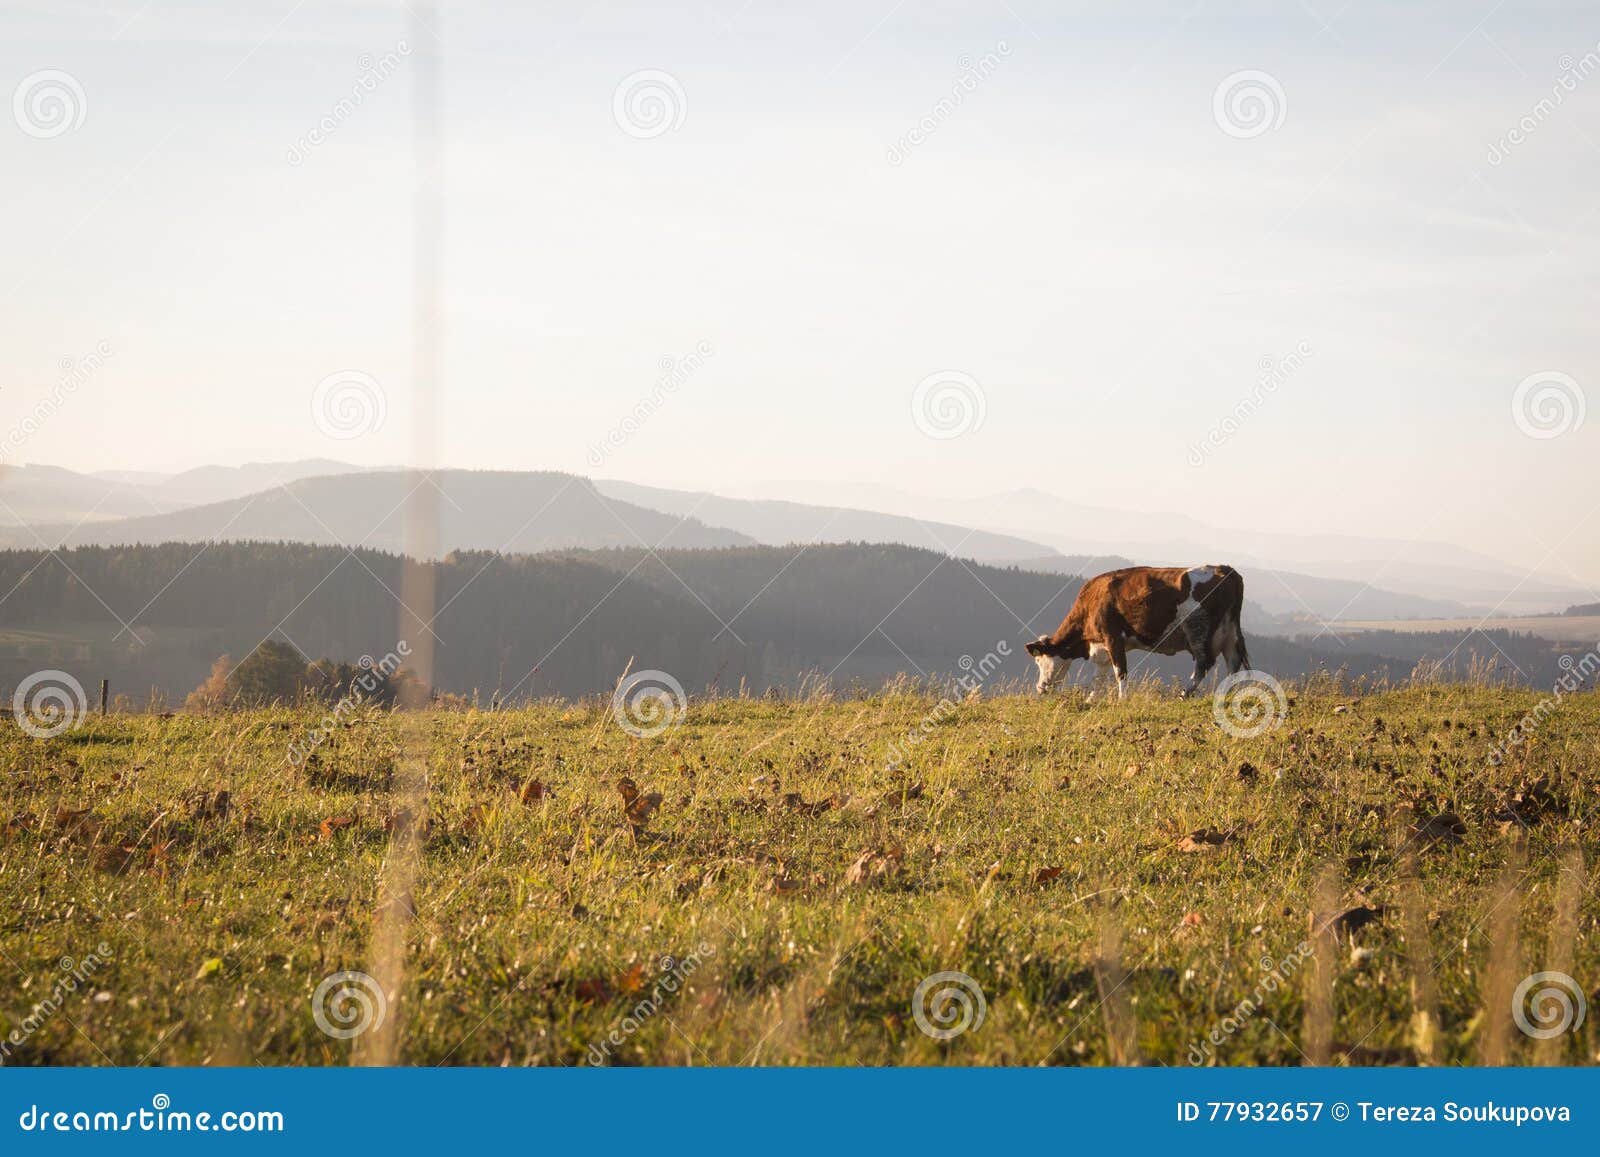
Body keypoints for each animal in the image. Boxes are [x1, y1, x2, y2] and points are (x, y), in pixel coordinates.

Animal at [1024, 565, 1249, 700]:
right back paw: (1228, 693)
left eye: (1039, 661)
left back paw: (1184, 694)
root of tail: (1224, 569)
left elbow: (1120, 672)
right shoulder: (1102, 647)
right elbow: (1099, 677)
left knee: (1204, 663)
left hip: (1198, 629)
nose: (1040, 687)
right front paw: (1091, 699)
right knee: (1233, 661)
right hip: (1229, 631)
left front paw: (1122, 699)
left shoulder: (1113, 638)